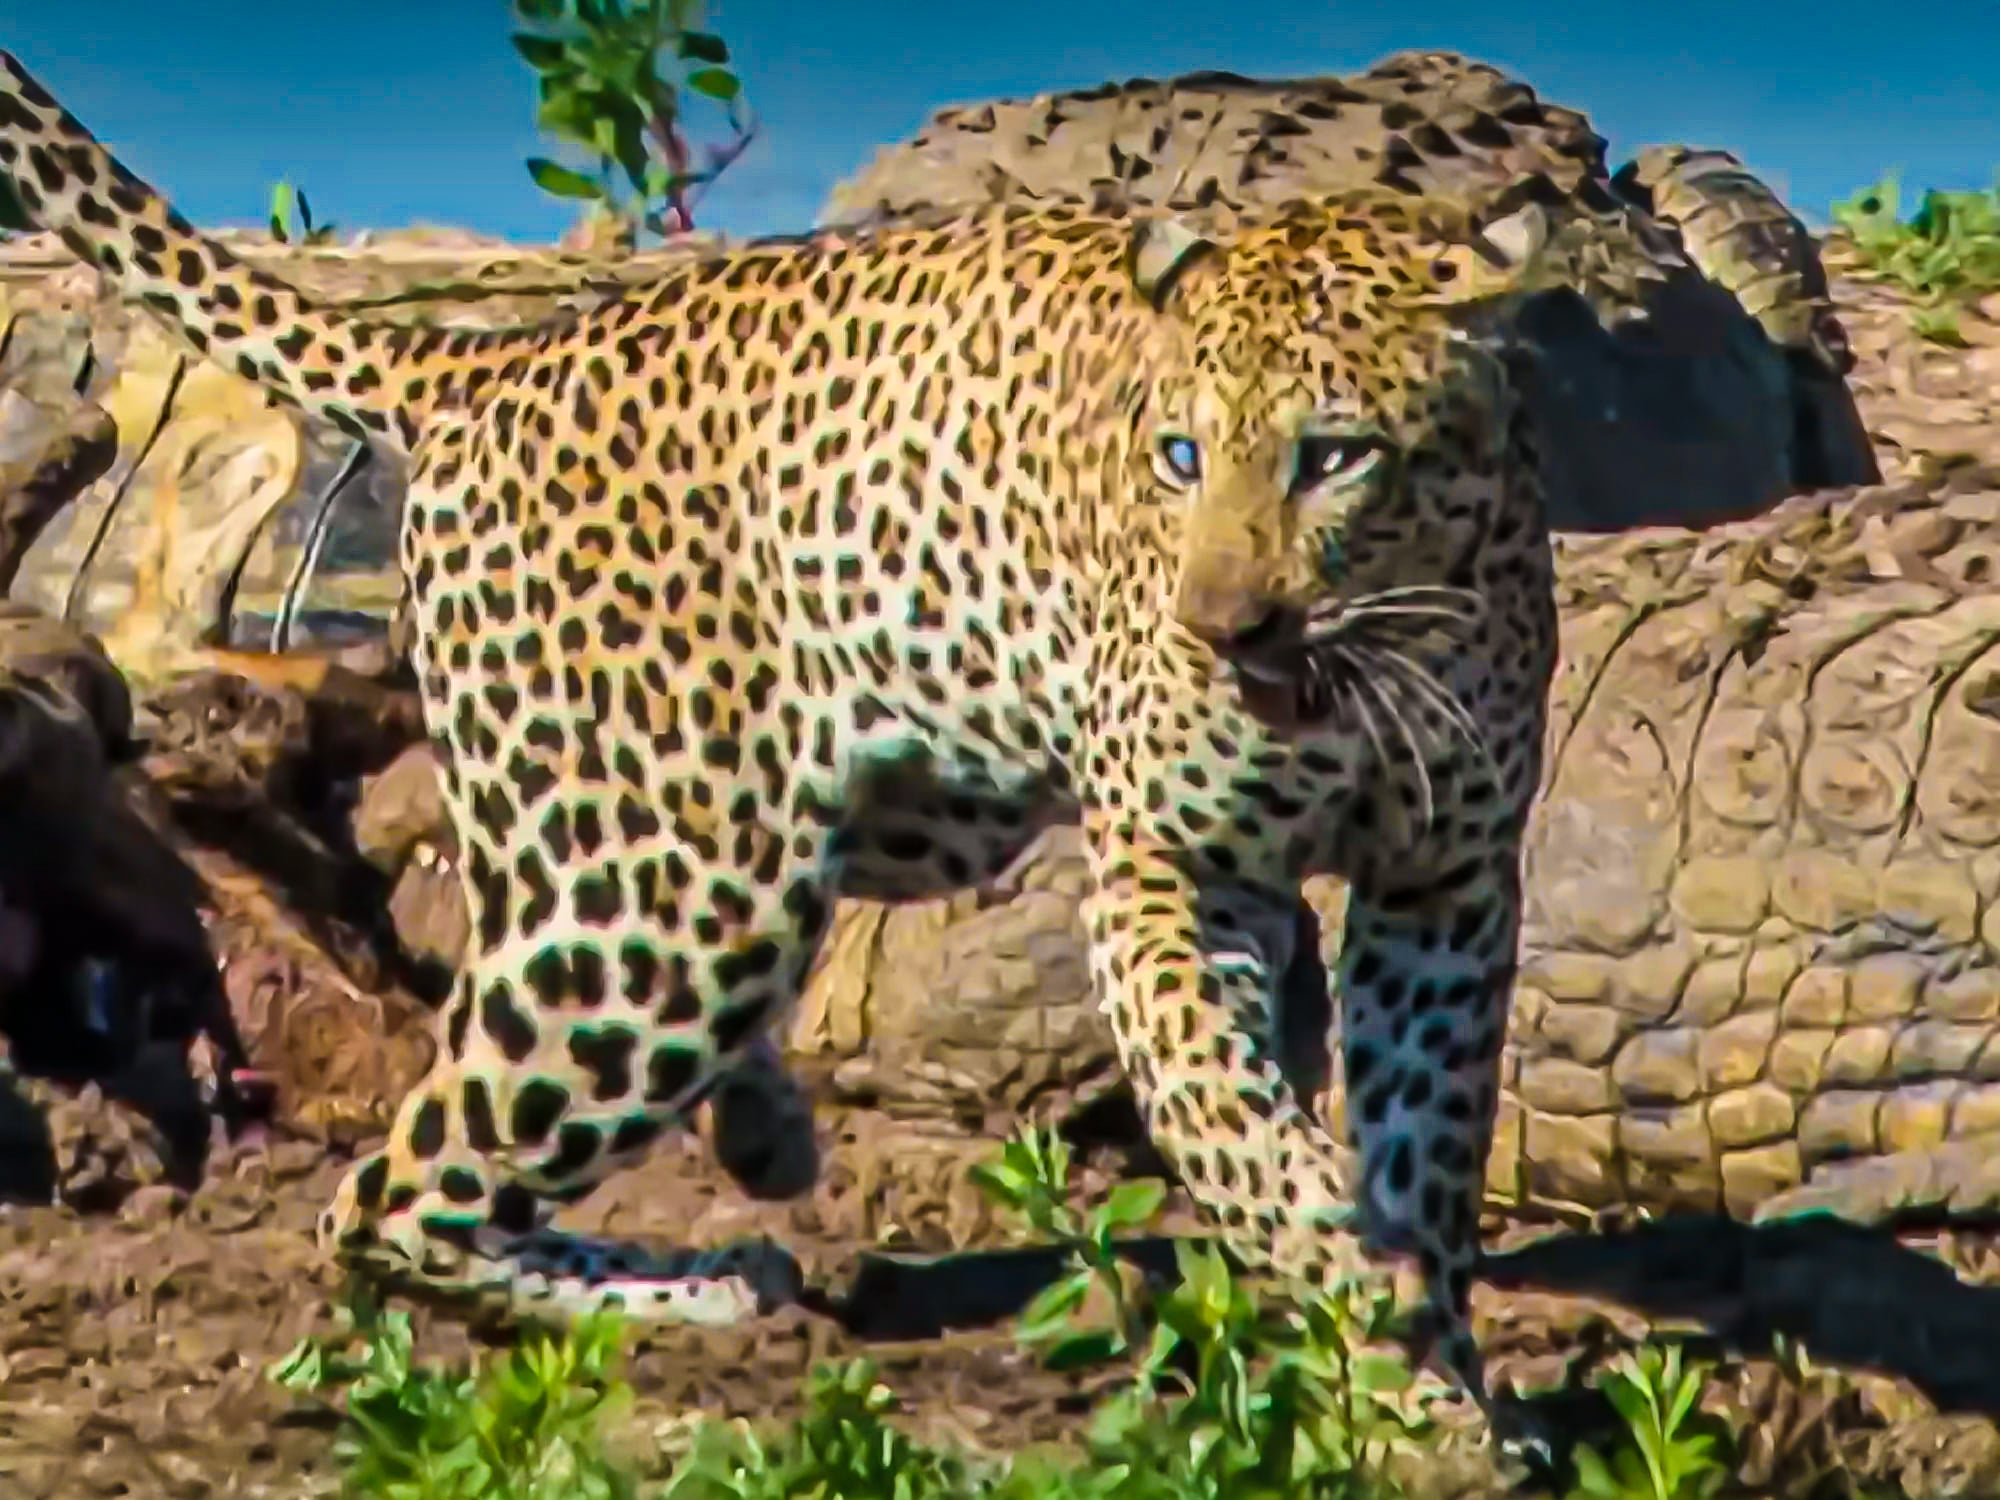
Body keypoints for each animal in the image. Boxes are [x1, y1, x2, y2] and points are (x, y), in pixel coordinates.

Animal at [0, 49, 1621, 1461]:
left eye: (1330, 458)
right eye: (1177, 458)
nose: (1220, 629)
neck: (1369, 658)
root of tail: (492, 360)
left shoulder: (1446, 887)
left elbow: (1429, 1137)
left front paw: (1442, 1389)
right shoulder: (1173, 867)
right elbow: (1226, 1114)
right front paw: (1353, 1273)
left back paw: (756, 1152)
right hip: (663, 907)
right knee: (390, 1197)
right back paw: (701, 1289)